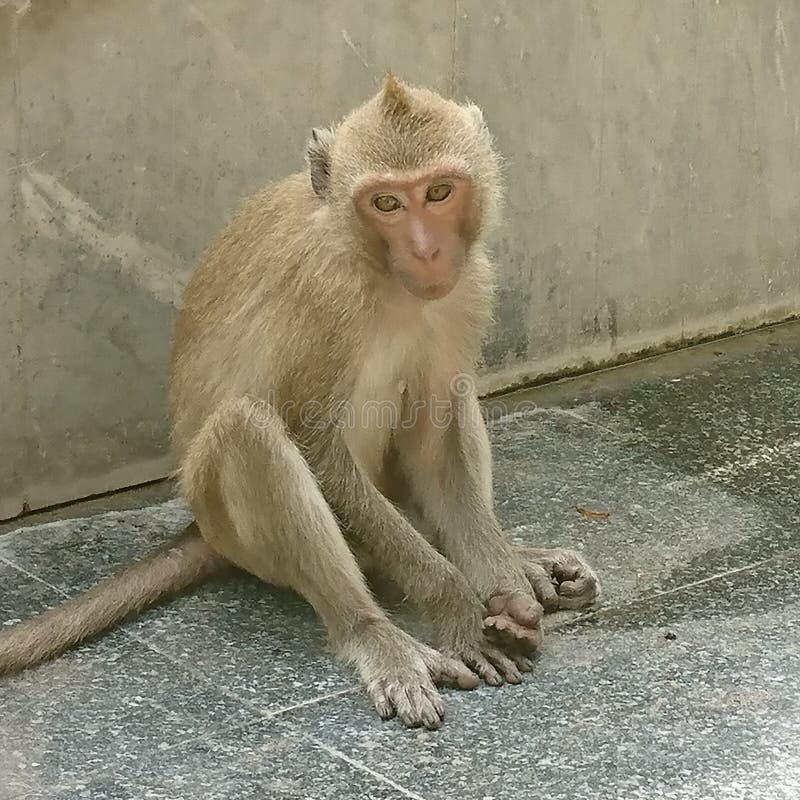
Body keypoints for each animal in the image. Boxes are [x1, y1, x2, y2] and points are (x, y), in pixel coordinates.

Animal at [0, 74, 599, 729]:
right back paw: (374, 635)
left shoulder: (469, 286)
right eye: (386, 203)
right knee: (249, 430)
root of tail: (200, 530)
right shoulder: (326, 294)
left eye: (438, 192)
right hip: (237, 530)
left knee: (452, 397)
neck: (377, 271)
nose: (426, 252)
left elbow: (436, 427)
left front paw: (505, 589)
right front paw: (459, 613)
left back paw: (520, 560)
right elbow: (313, 439)